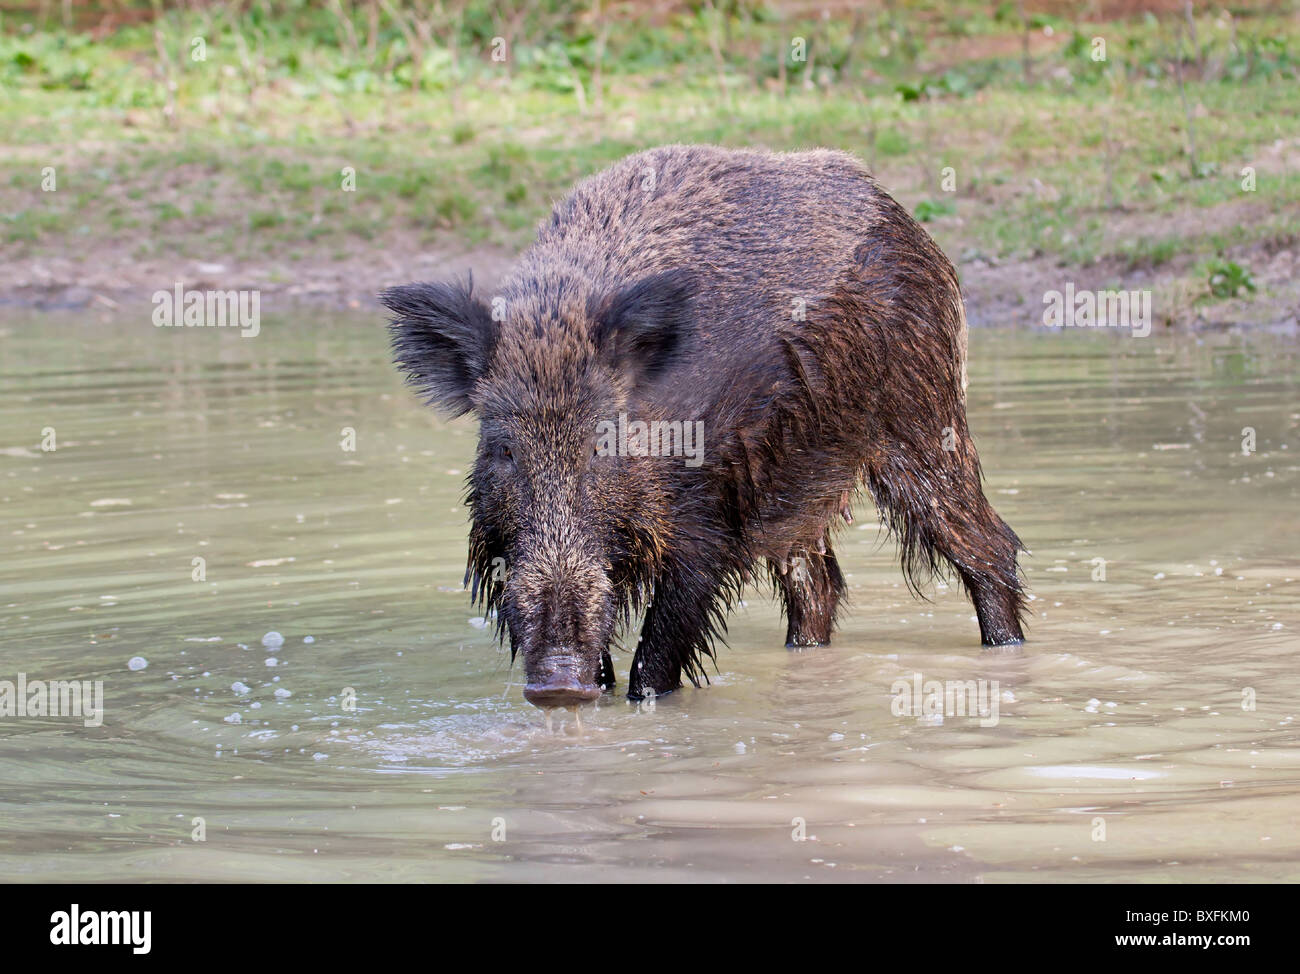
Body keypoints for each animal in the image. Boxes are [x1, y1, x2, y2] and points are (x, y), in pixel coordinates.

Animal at [383, 144, 1026, 708]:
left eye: (600, 448)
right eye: (505, 450)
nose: (556, 682)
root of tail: (898, 214)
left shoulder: (705, 522)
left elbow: (658, 656)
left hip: (922, 417)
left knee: (987, 544)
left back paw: (1008, 646)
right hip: (800, 494)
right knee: (818, 586)